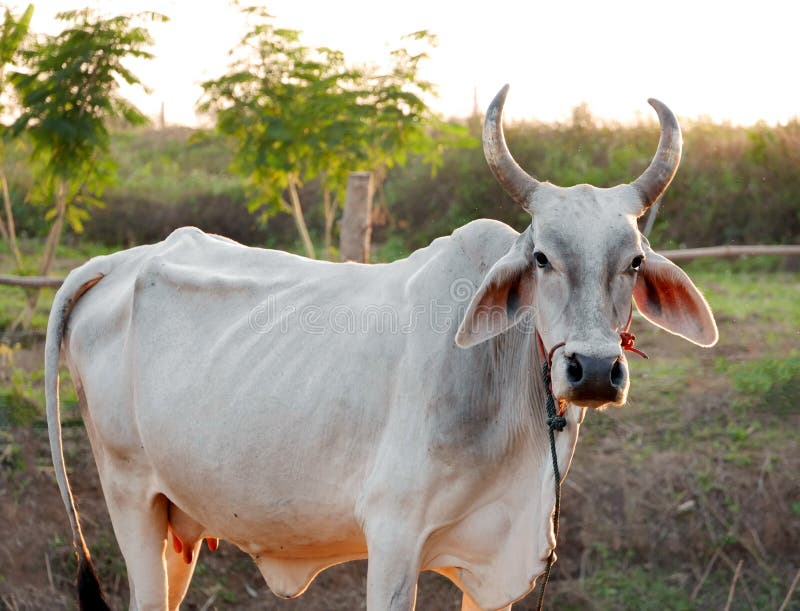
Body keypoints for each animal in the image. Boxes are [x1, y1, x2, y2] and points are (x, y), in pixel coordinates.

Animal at [45, 85, 717, 611]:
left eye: (634, 261)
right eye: (542, 258)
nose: (595, 370)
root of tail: (118, 262)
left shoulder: (495, 563)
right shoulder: (394, 538)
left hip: (178, 524)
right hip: (131, 496)